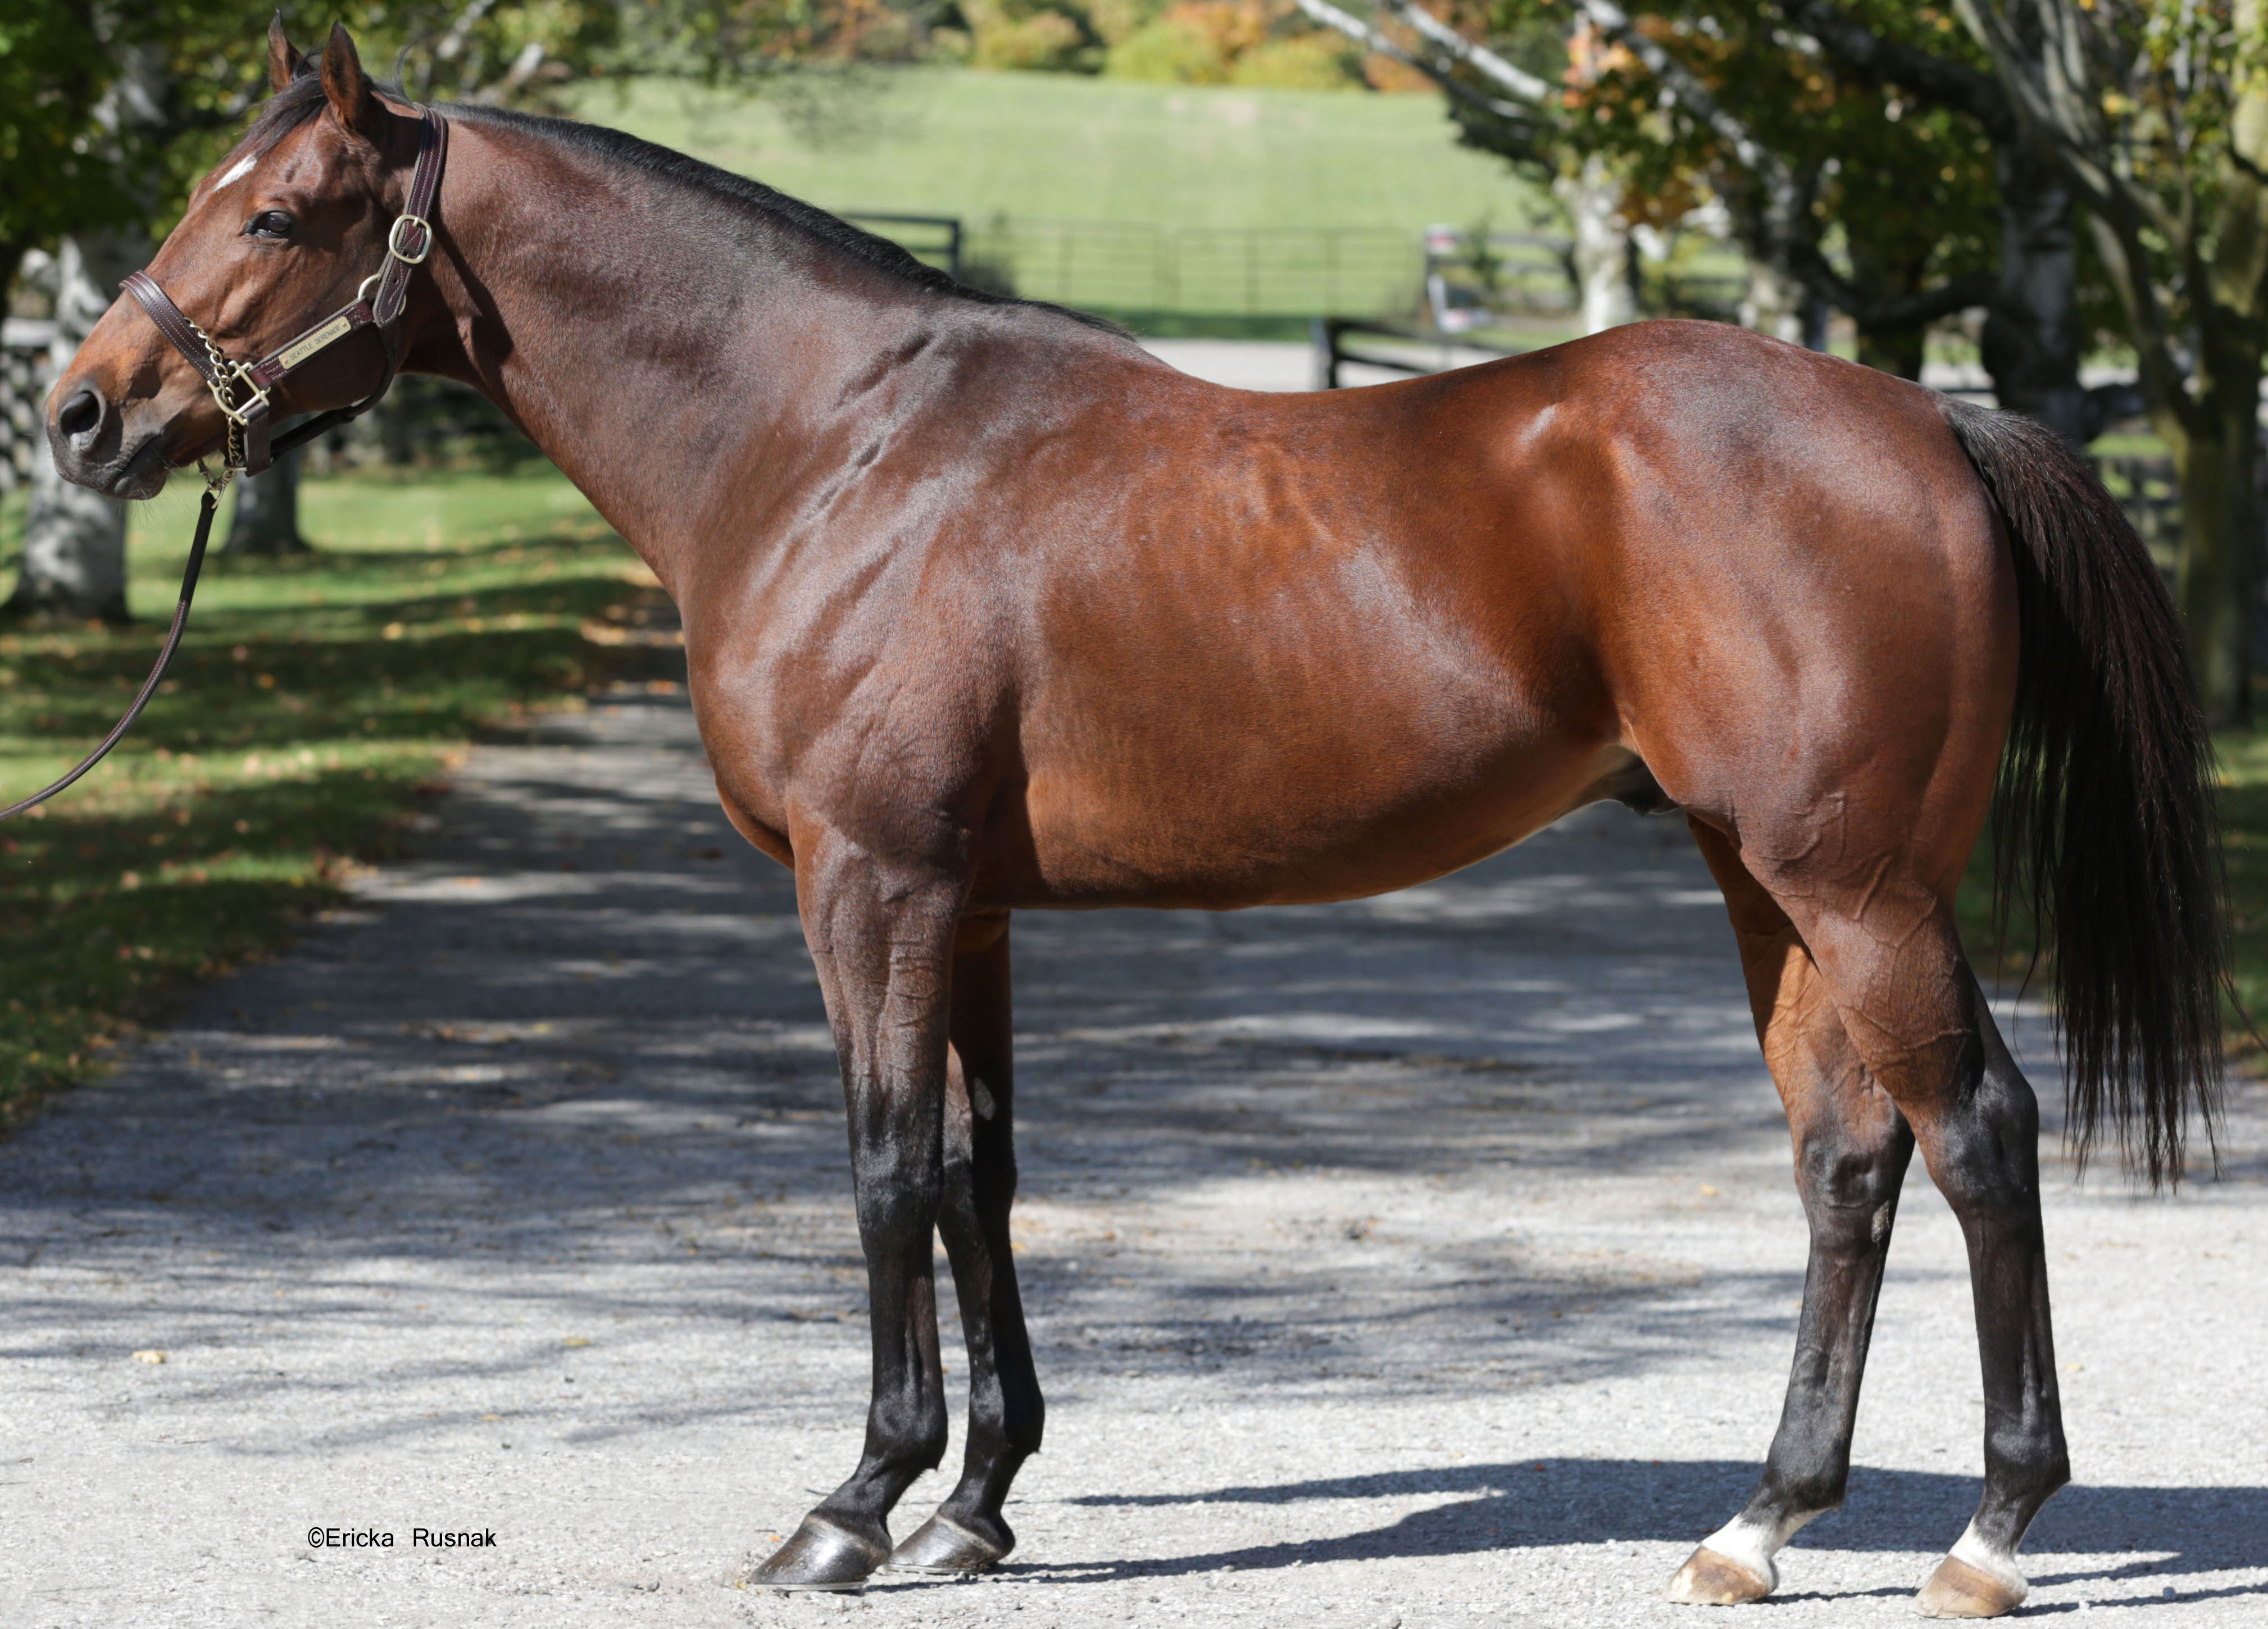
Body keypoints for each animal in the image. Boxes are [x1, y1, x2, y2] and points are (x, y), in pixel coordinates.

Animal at [45, 21, 2224, 1617]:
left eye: (287, 209)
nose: (82, 414)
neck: (828, 446)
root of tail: (1921, 415)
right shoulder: (971, 908)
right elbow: (982, 1174)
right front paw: (977, 1500)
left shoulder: (870, 889)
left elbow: (882, 1171)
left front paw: (852, 1506)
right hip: (1758, 879)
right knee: (1846, 1158)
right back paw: (1759, 1522)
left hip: (1856, 885)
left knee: (1979, 1137)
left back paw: (1987, 1532)